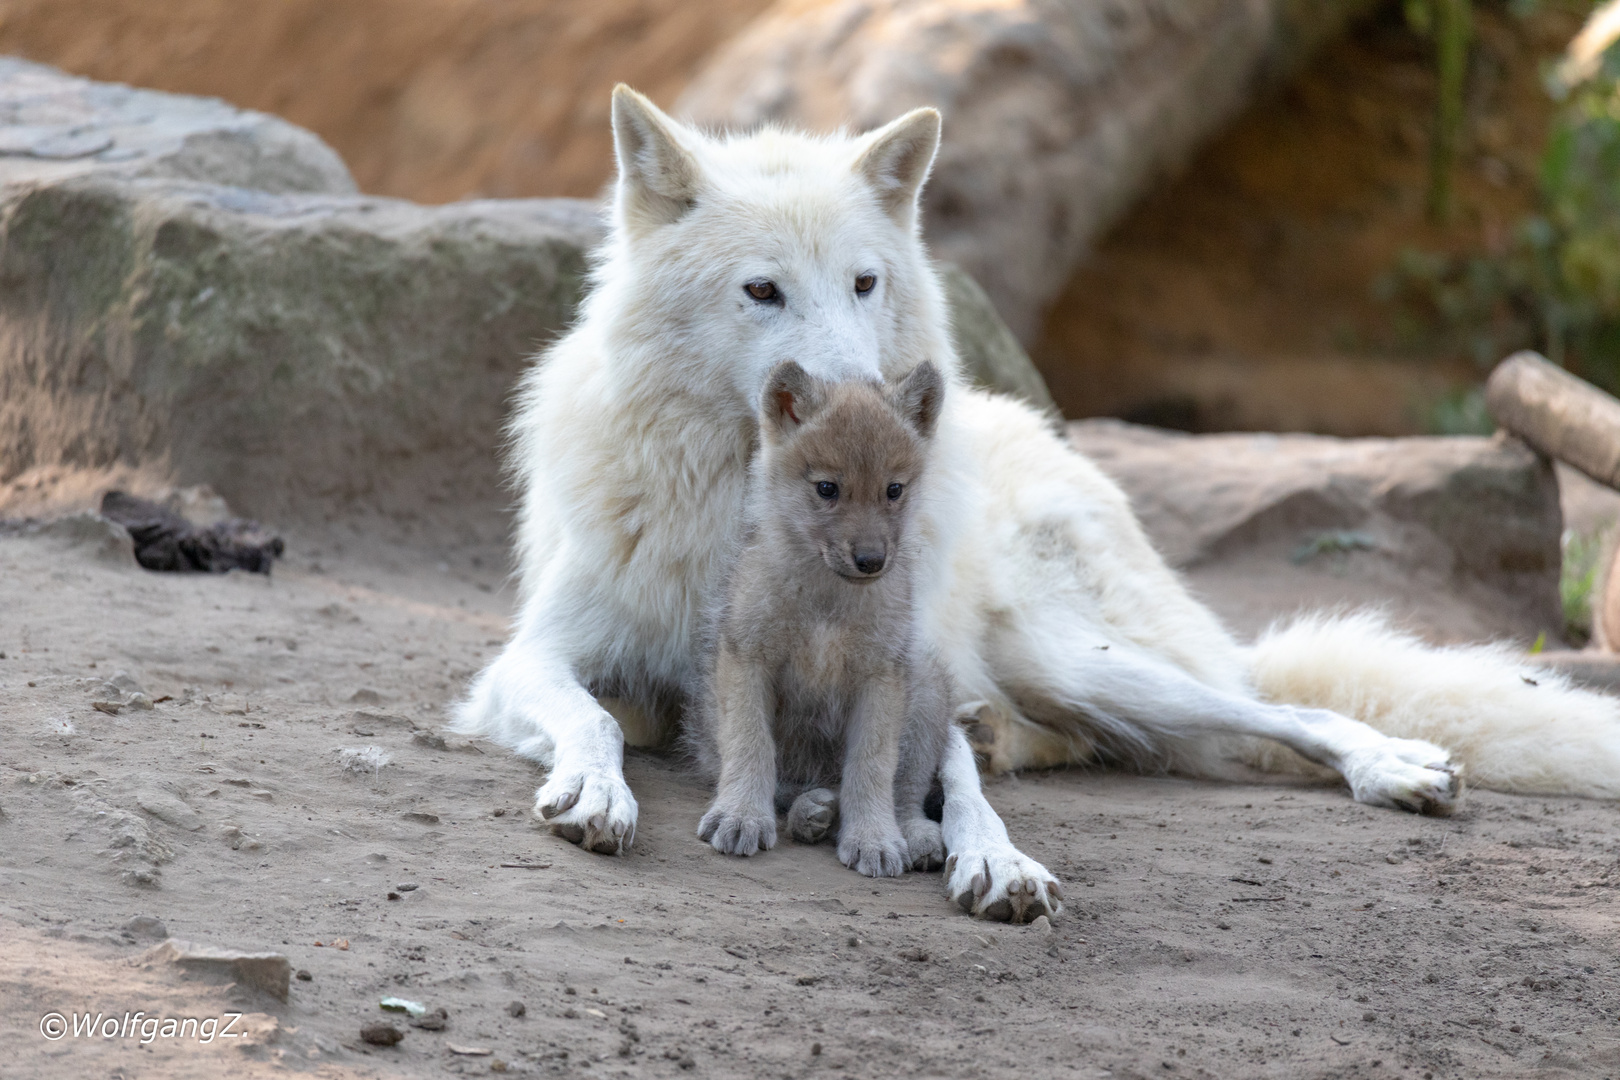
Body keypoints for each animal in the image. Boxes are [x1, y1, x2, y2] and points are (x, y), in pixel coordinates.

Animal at [687, 359, 955, 880]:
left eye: (893, 490)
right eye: (827, 489)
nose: (871, 560)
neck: (828, 603)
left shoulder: (880, 676)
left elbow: (873, 766)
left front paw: (874, 838)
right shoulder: (748, 658)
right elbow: (751, 745)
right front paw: (741, 816)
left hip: (928, 692)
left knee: (906, 793)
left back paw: (911, 835)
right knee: (793, 789)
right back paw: (813, 811)